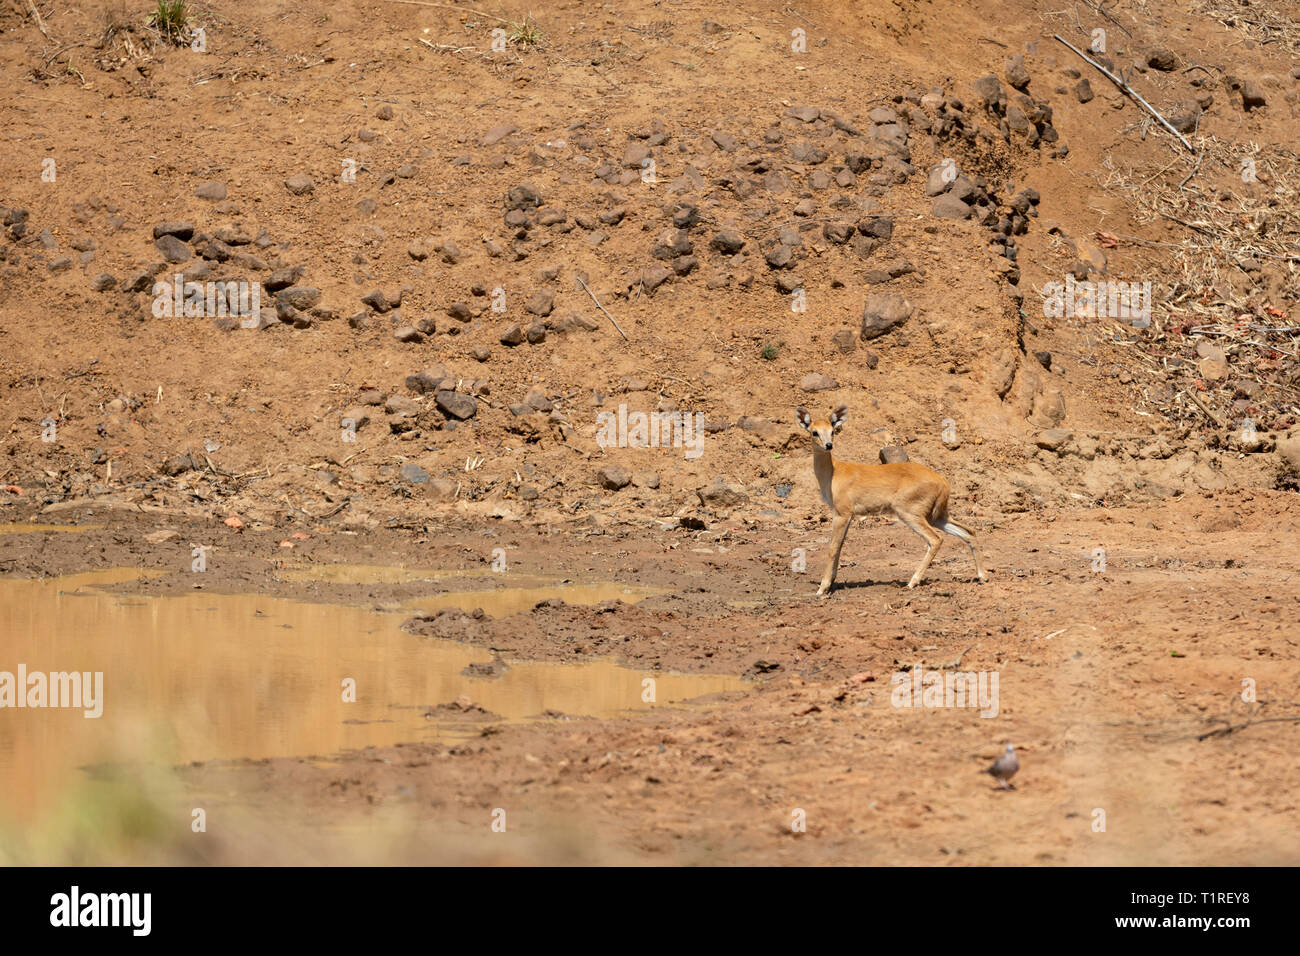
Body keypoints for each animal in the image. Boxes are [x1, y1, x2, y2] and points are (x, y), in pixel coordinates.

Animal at [796, 404, 986, 594]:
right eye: (814, 432)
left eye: (832, 430)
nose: (828, 445)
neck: (833, 474)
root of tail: (943, 483)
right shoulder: (848, 515)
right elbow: (841, 544)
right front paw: (831, 582)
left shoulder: (842, 513)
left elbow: (833, 547)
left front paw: (822, 588)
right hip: (938, 516)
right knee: (969, 532)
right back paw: (982, 576)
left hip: (910, 514)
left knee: (936, 539)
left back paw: (912, 582)